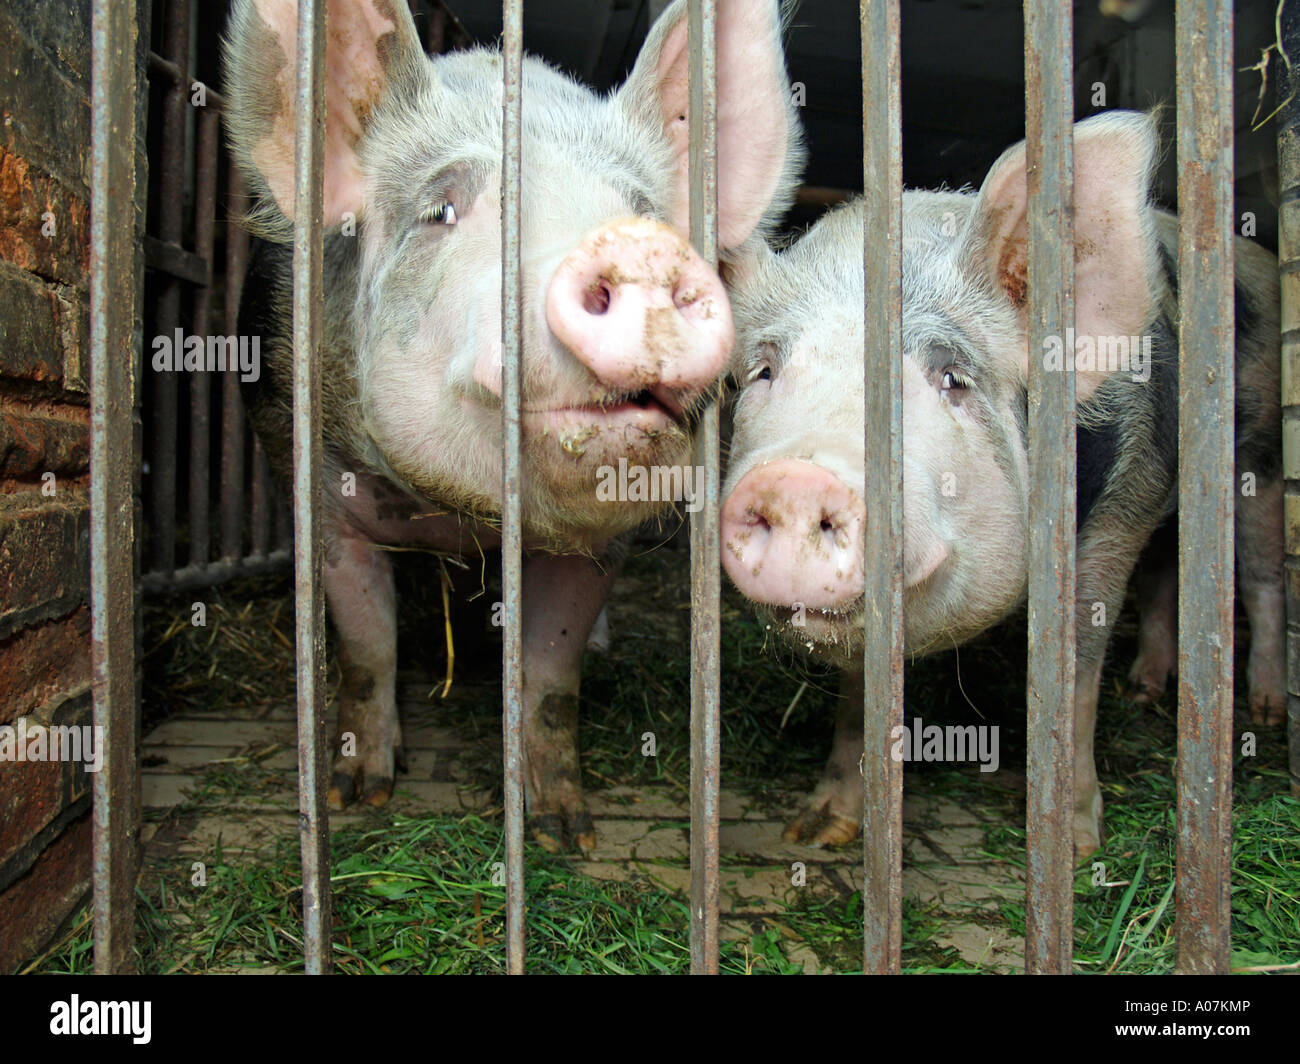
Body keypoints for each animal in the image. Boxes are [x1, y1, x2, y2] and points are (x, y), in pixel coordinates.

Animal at [222, 0, 805, 850]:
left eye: (647, 213)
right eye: (441, 210)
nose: (640, 250)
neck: (458, 516)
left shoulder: (600, 544)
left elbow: (553, 677)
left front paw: (567, 833)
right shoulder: (315, 484)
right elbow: (366, 644)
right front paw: (358, 795)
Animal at [718, 111, 1282, 859]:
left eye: (952, 378)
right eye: (763, 371)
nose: (798, 478)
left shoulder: (1112, 516)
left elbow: (1076, 670)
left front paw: (1076, 845)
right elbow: (861, 687)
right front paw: (817, 831)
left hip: (1259, 456)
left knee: (1260, 574)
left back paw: (1266, 711)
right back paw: (1145, 690)